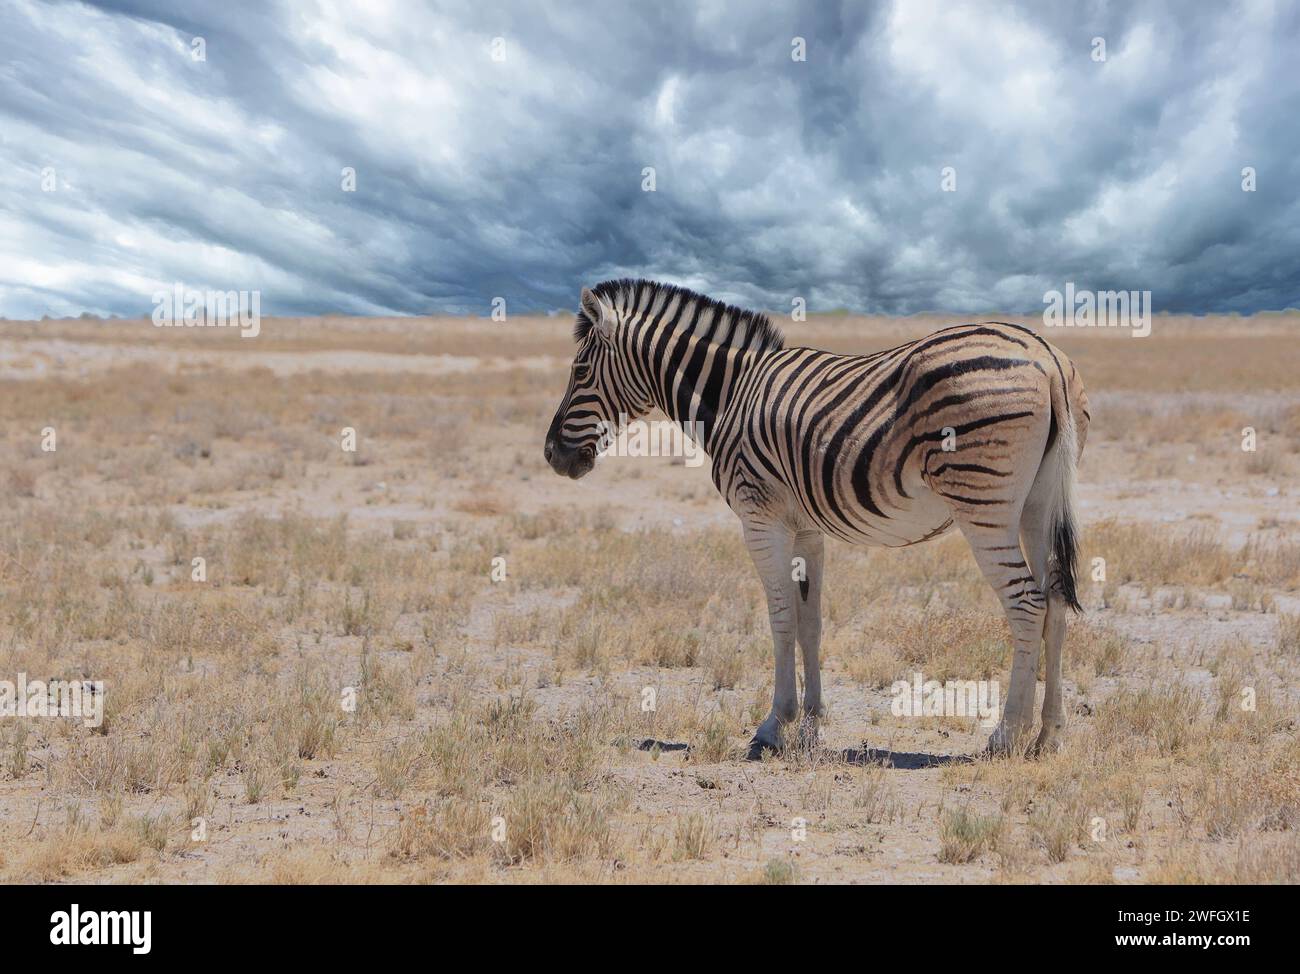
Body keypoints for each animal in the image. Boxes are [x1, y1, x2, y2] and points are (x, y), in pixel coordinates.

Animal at [544, 279, 1089, 758]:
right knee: (1056, 601)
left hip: (984, 506)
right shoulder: (807, 529)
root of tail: (1046, 358)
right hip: (1037, 505)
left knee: (1026, 604)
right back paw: (1049, 735)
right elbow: (811, 622)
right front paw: (810, 726)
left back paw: (1006, 736)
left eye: (580, 370)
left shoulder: (760, 518)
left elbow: (780, 617)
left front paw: (773, 726)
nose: (551, 455)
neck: (732, 394)